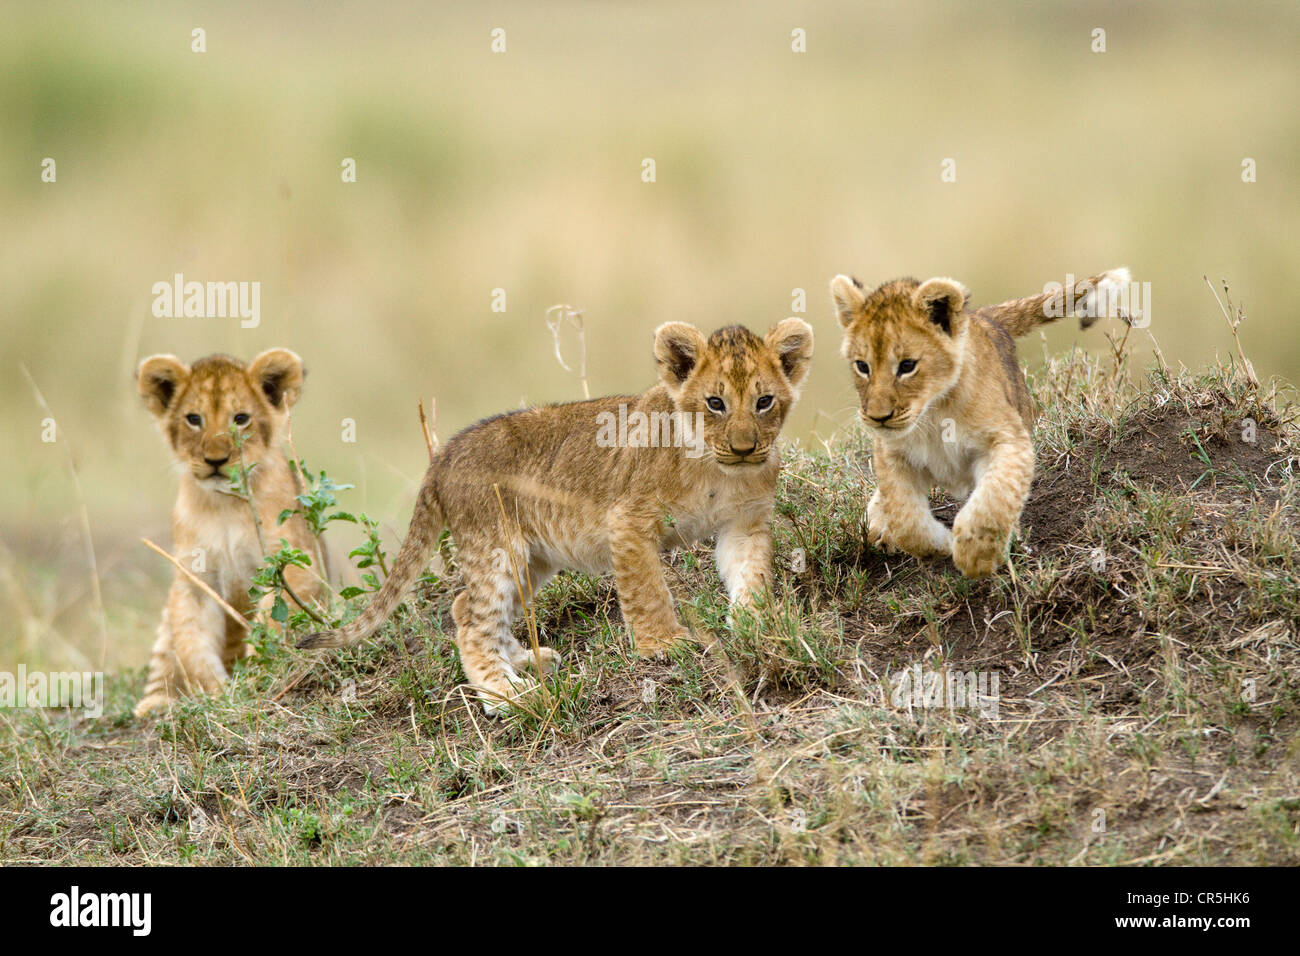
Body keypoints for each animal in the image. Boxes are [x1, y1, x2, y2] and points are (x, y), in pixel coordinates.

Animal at [133, 348, 324, 716]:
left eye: (241, 418)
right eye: (194, 418)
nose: (216, 460)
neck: (225, 506)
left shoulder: (295, 562)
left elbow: (273, 620)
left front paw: (259, 674)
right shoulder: (195, 579)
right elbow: (192, 643)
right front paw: (217, 691)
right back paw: (157, 703)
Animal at [299, 319, 814, 713]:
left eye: (764, 401)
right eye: (715, 403)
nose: (745, 447)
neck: (716, 468)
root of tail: (445, 455)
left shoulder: (743, 524)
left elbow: (752, 576)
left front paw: (758, 626)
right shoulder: (628, 520)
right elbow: (647, 590)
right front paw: (662, 644)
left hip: (533, 558)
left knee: (468, 606)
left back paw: (525, 661)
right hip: (494, 546)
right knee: (472, 622)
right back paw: (508, 695)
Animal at [830, 269, 1129, 577]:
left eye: (907, 366)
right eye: (862, 366)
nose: (878, 417)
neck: (932, 412)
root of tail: (981, 317)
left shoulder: (1008, 438)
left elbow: (995, 498)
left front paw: (977, 555)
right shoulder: (891, 454)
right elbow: (905, 519)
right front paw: (938, 545)